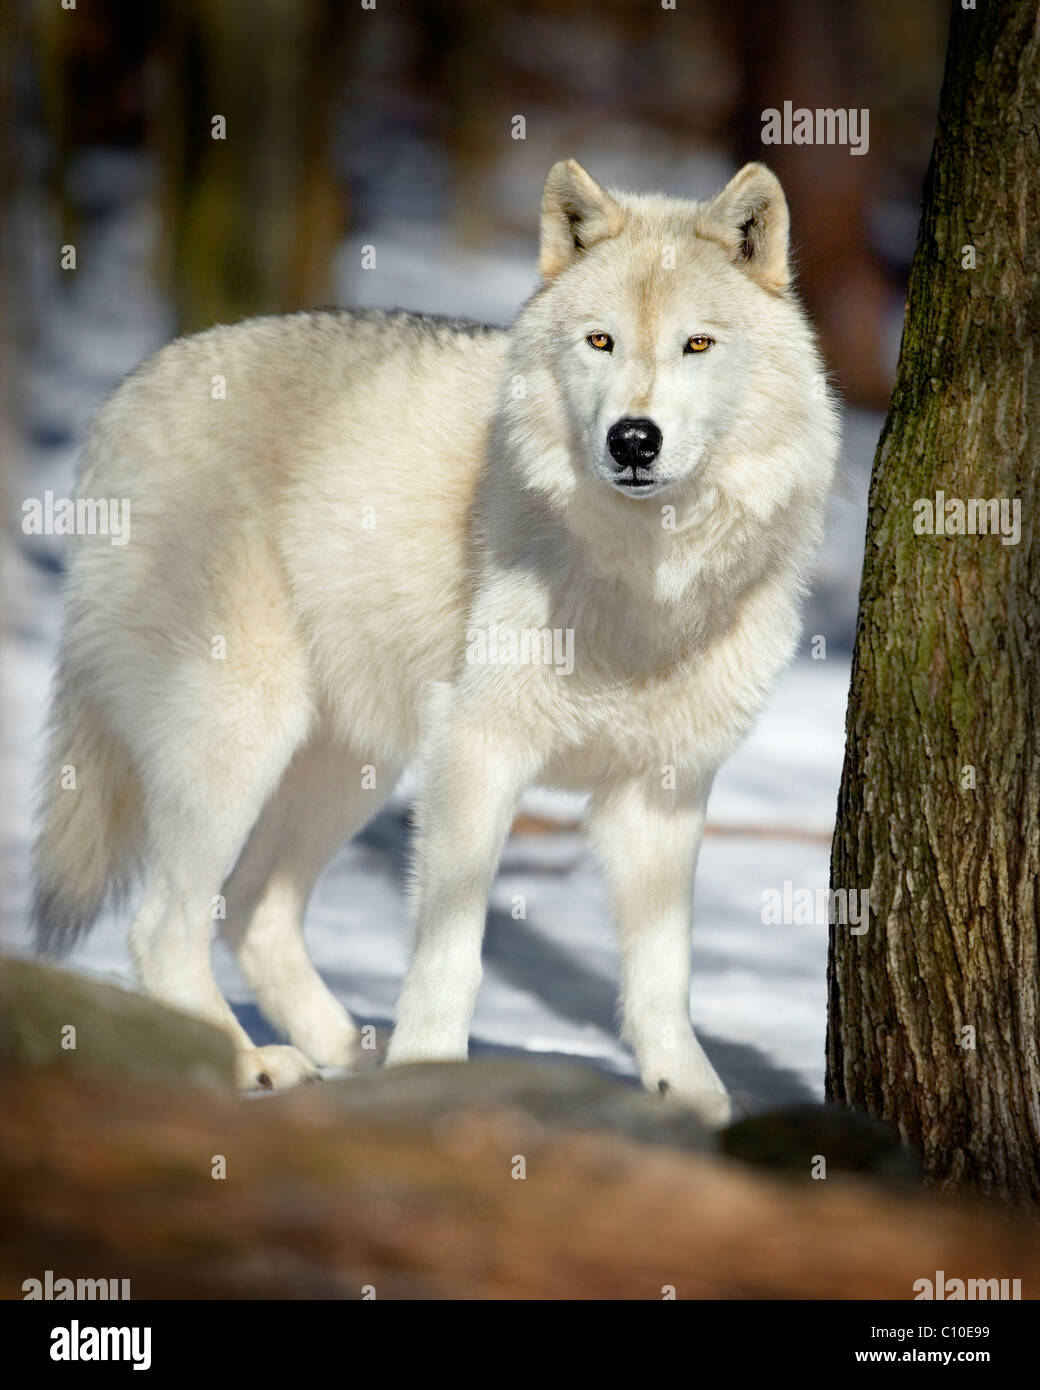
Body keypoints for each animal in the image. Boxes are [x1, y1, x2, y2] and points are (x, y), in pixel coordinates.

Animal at [33, 160, 839, 1121]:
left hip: (349, 763)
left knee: (254, 906)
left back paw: (346, 1050)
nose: (633, 440)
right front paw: (432, 1074)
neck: (644, 579)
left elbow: (663, 978)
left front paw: (695, 1104)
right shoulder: (478, 751)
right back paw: (248, 1065)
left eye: (698, 345)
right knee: (165, 926)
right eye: (601, 342)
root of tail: (128, 390)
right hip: (241, 737)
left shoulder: (662, 792)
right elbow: (452, 949)